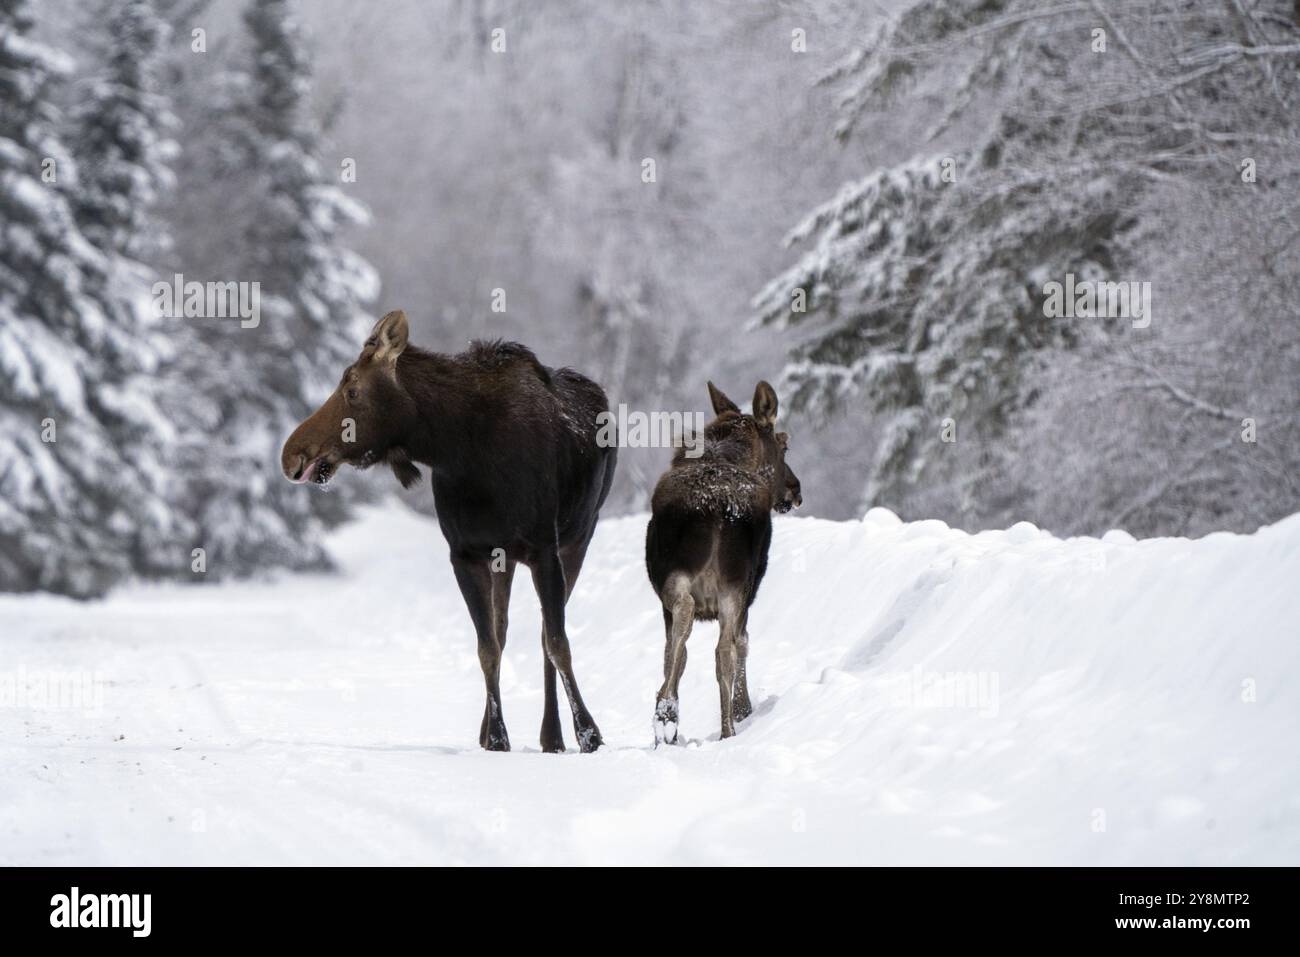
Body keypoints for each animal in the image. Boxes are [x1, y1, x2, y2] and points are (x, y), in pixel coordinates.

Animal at [281, 310, 616, 753]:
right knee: (505, 630)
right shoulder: (466, 553)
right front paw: (496, 736)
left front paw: (589, 734)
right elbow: (488, 647)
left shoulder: (546, 547)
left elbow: (557, 643)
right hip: (506, 559)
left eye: (352, 389)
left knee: (546, 636)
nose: (291, 455)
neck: (459, 446)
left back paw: (553, 735)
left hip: (579, 536)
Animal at [644, 380, 801, 745]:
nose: (795, 490)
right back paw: (719, 726)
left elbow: (676, 654)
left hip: (684, 579)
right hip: (734, 584)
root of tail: (717, 505)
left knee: (687, 633)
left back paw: (667, 712)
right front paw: (744, 710)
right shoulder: (748, 591)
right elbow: (741, 644)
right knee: (723, 650)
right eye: (784, 444)